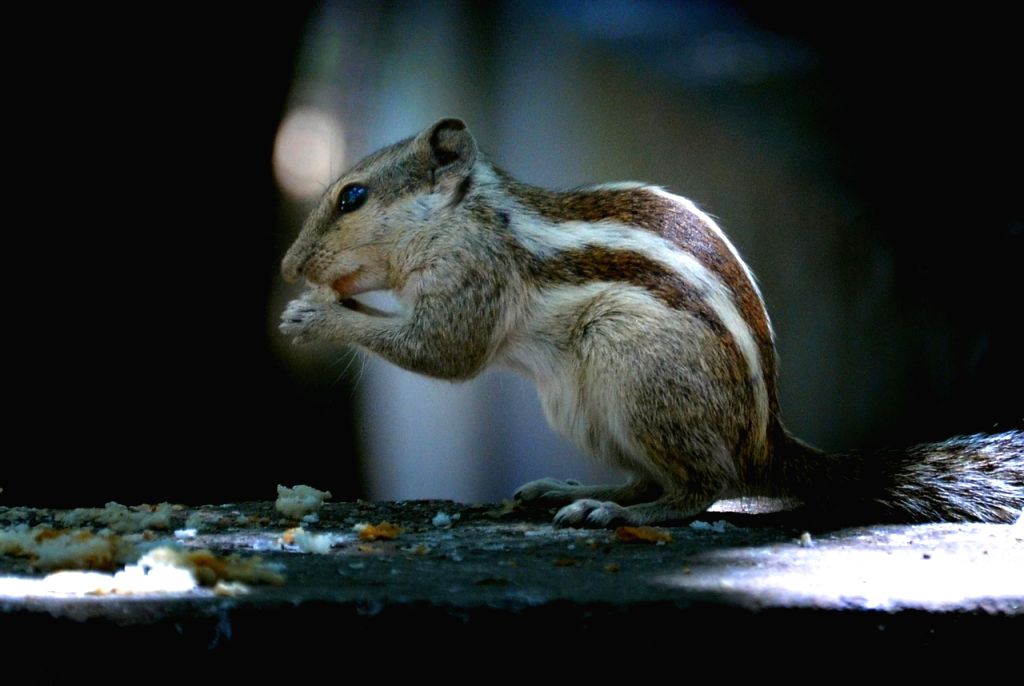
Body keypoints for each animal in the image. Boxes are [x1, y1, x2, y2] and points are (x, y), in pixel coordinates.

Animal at [279, 118, 1023, 527]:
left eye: (352, 197)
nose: (288, 266)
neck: (466, 215)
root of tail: (763, 442)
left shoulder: (473, 278)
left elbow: (444, 352)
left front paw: (317, 314)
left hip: (636, 368)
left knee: (702, 488)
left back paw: (618, 512)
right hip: (592, 408)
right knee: (653, 475)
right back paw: (573, 493)